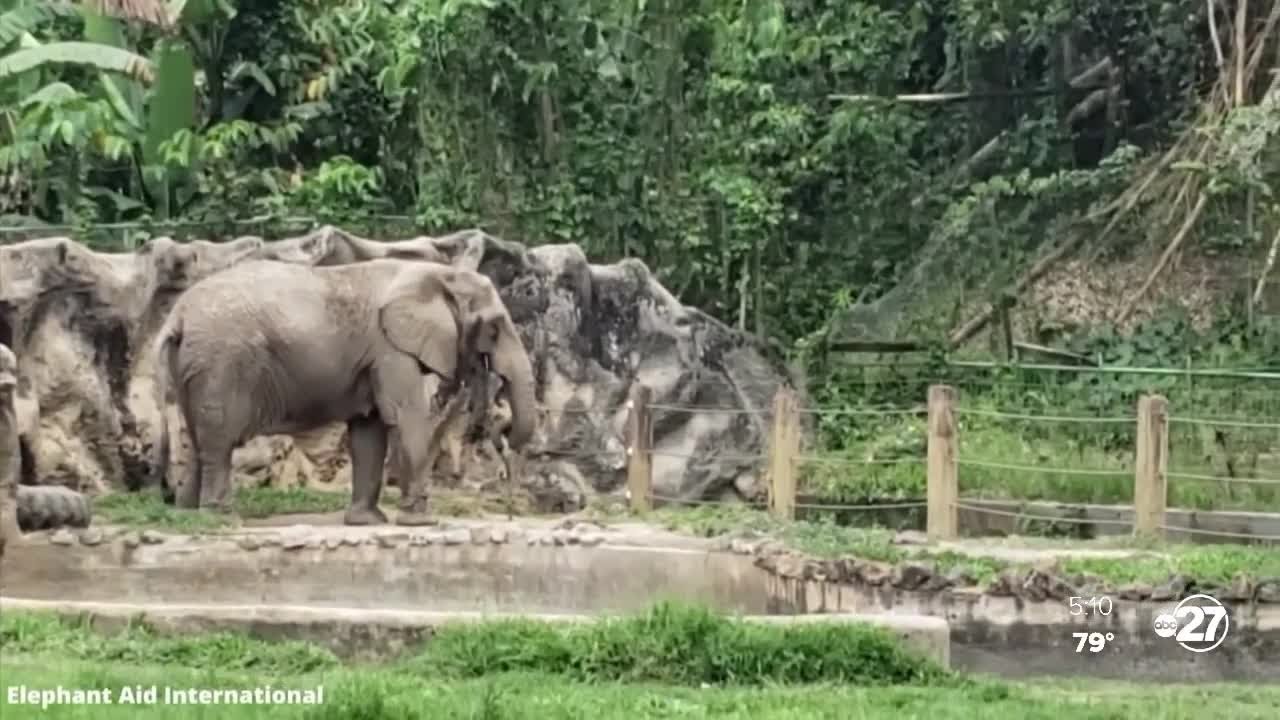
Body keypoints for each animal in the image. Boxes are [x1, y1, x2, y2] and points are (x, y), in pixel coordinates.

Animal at [149, 259, 537, 526]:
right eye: (495, 328)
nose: (498, 429)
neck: (437, 272)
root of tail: (177, 314)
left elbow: (369, 429)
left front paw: (367, 522)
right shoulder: (390, 349)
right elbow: (405, 416)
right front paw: (422, 522)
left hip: (194, 364)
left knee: (199, 438)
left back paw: (188, 515)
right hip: (221, 363)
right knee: (218, 439)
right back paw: (222, 518)